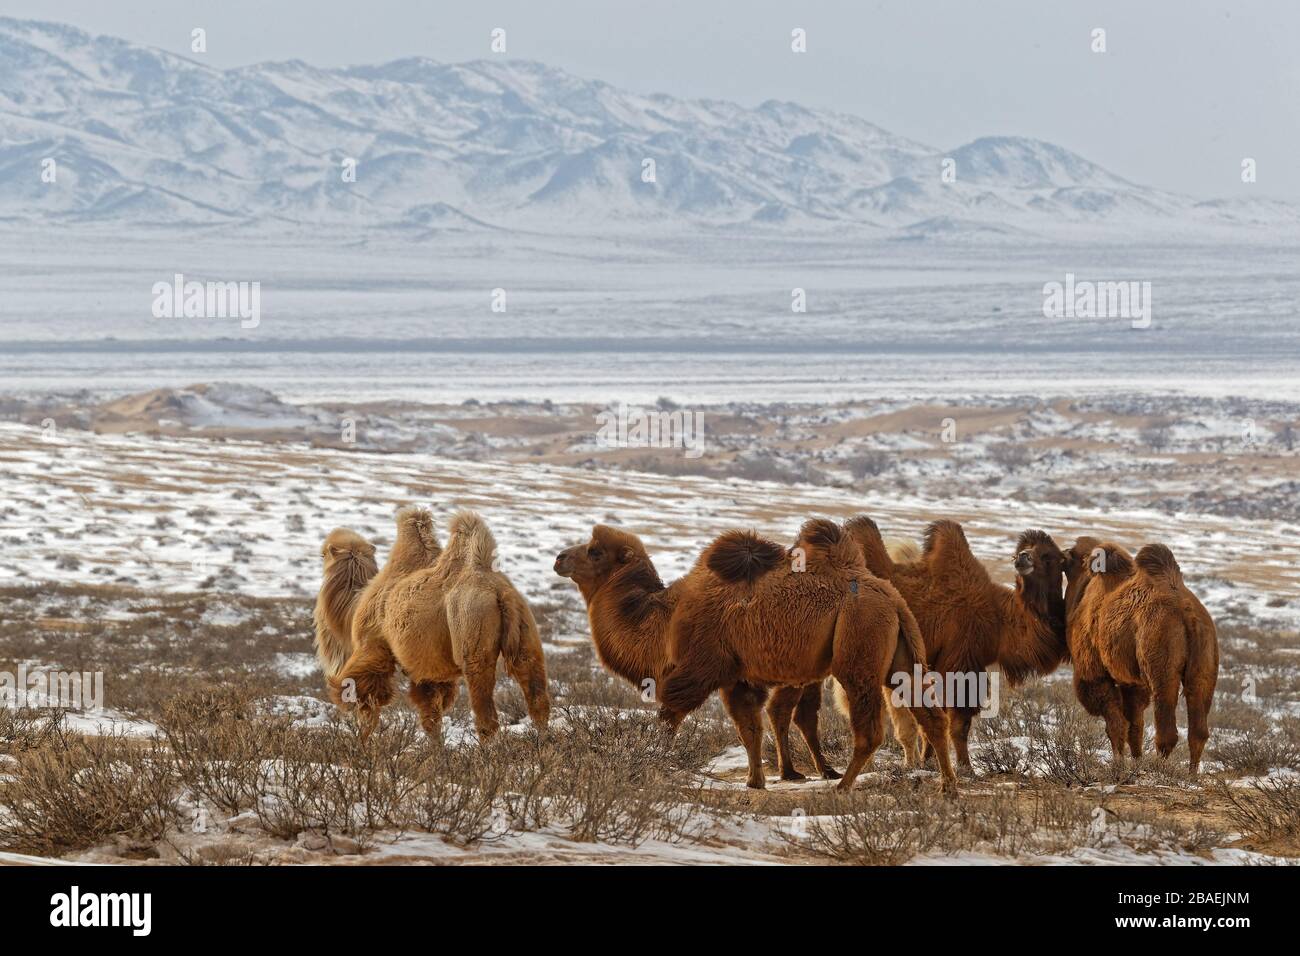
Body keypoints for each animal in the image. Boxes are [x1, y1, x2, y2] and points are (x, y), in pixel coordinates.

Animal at [330, 507, 549, 741]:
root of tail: (498, 591)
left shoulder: (374, 645)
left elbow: (364, 693)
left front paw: (362, 739)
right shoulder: (428, 670)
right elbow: (430, 714)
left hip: (471, 627)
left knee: (484, 705)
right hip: (524, 626)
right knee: (535, 689)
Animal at [656, 519, 957, 794]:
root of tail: (894, 601)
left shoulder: (709, 659)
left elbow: (673, 706)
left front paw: (658, 754)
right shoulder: (739, 675)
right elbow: (749, 725)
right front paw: (755, 781)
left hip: (859, 636)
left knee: (868, 727)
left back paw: (842, 785)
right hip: (903, 654)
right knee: (930, 715)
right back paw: (947, 785)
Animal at [846, 516, 1068, 774]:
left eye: (1049, 557)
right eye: (1029, 550)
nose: (1022, 557)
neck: (998, 618)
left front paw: (927, 762)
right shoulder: (962, 663)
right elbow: (959, 724)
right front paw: (966, 768)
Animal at [1063, 537, 1218, 772]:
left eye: (1069, 557)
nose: (1062, 553)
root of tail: (1188, 613)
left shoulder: (1095, 670)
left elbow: (1115, 723)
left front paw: (1119, 763)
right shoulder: (1132, 681)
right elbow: (1134, 724)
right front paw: (1135, 761)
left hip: (1160, 654)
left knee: (1166, 726)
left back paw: (1160, 769)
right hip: (1205, 660)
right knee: (1198, 727)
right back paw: (1191, 773)